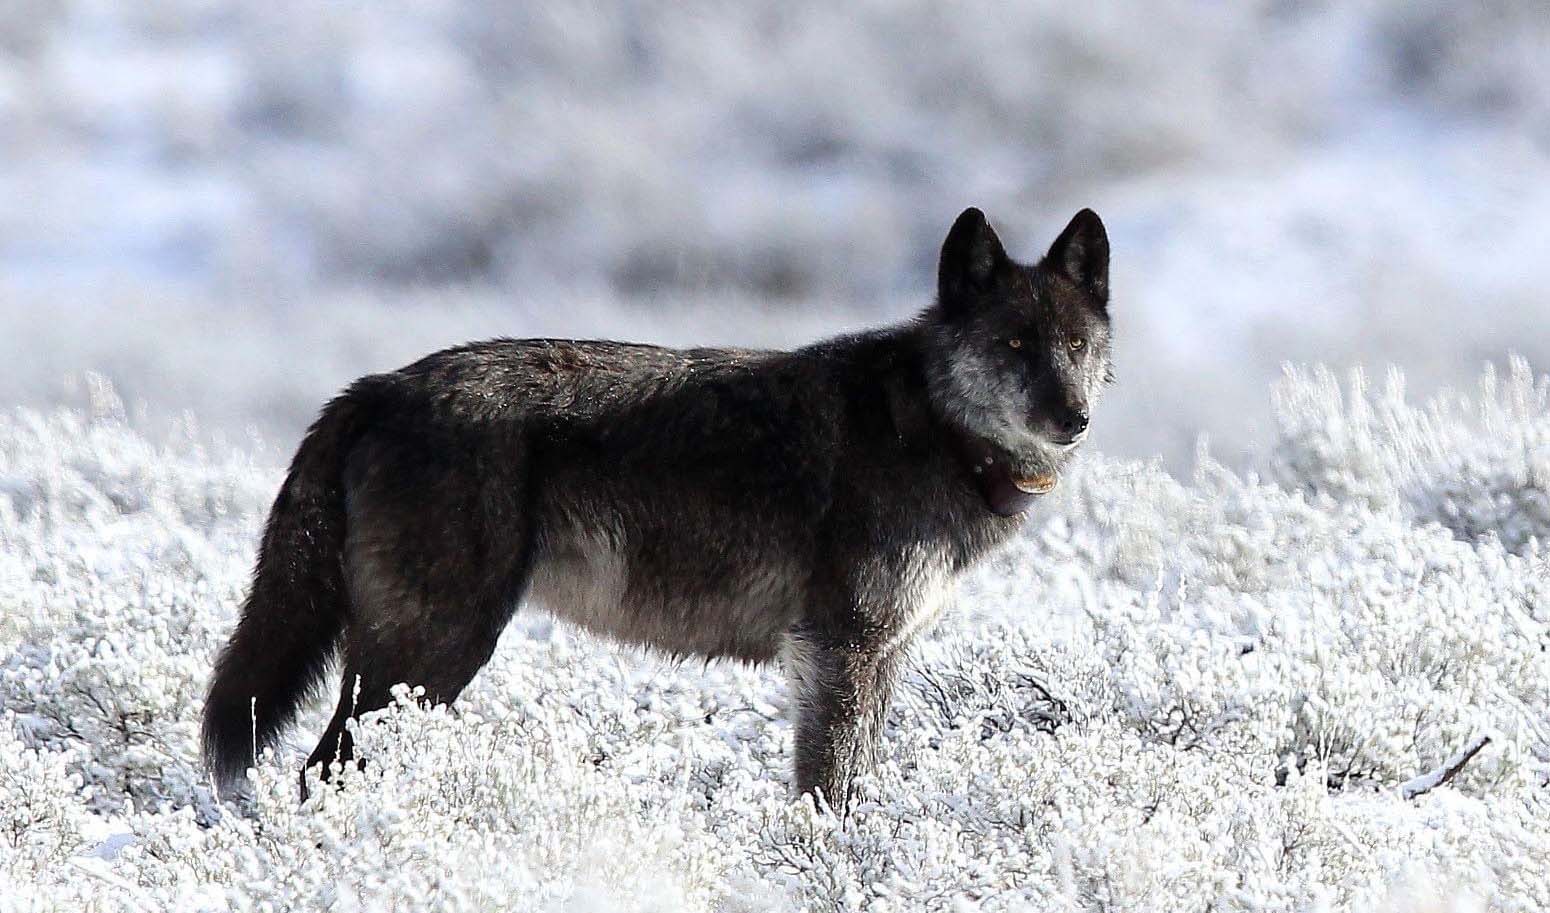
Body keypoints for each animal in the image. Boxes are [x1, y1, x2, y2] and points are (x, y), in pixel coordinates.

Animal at [202, 206, 1113, 807]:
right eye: (1014, 344)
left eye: (1075, 345)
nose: (1074, 417)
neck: (926, 425)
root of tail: (378, 386)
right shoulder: (838, 650)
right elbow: (828, 792)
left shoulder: (879, 656)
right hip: (435, 654)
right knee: (321, 767)